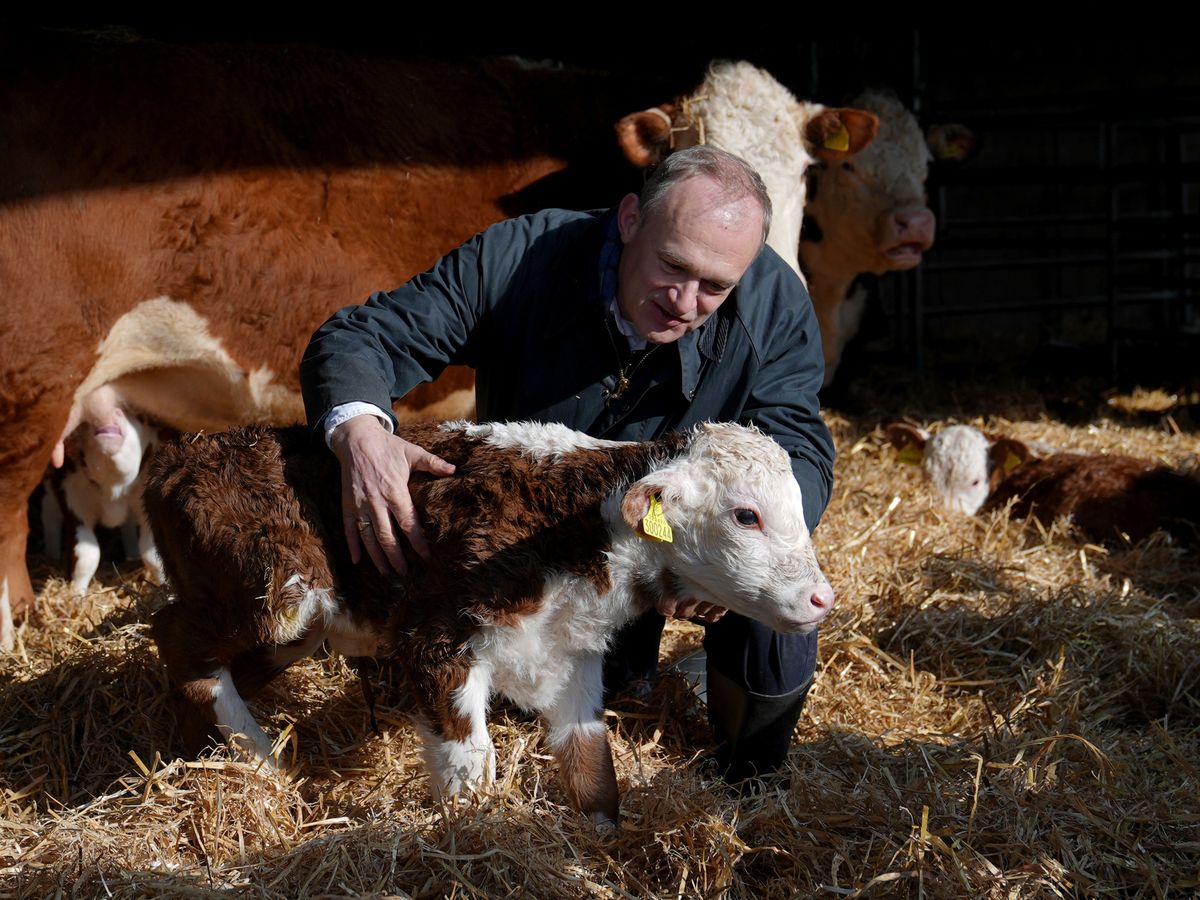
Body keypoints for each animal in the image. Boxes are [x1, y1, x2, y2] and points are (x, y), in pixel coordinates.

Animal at [145, 421, 835, 825]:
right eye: (746, 515)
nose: (821, 599)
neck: (575, 524)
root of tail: (180, 453)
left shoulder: (570, 653)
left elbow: (591, 764)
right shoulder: (435, 640)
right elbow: (471, 761)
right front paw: (472, 833)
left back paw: (202, 757)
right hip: (275, 592)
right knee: (175, 637)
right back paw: (261, 762)